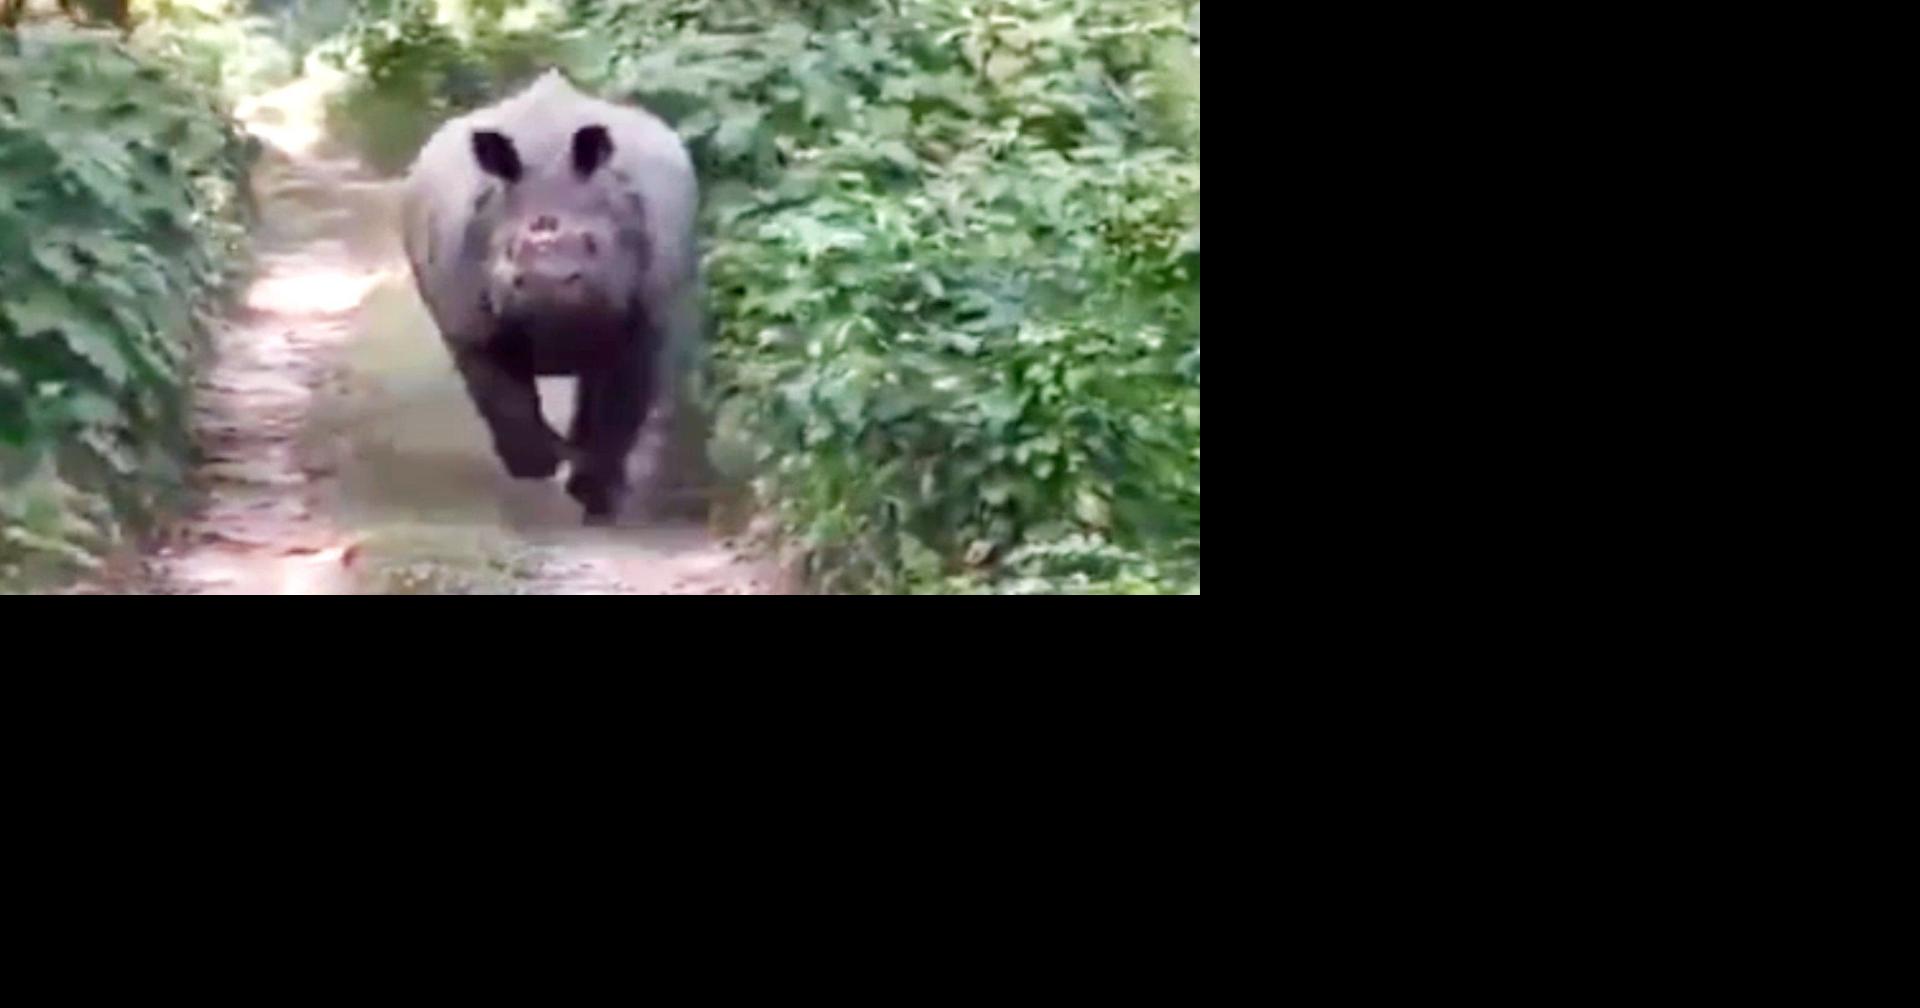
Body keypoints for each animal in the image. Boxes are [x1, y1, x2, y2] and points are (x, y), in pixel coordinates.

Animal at [399, 69, 705, 523]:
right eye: (508, 250)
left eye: (593, 245)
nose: (548, 285)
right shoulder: (468, 317)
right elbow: (501, 392)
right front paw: (537, 466)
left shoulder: (647, 315)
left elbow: (620, 406)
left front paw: (595, 494)